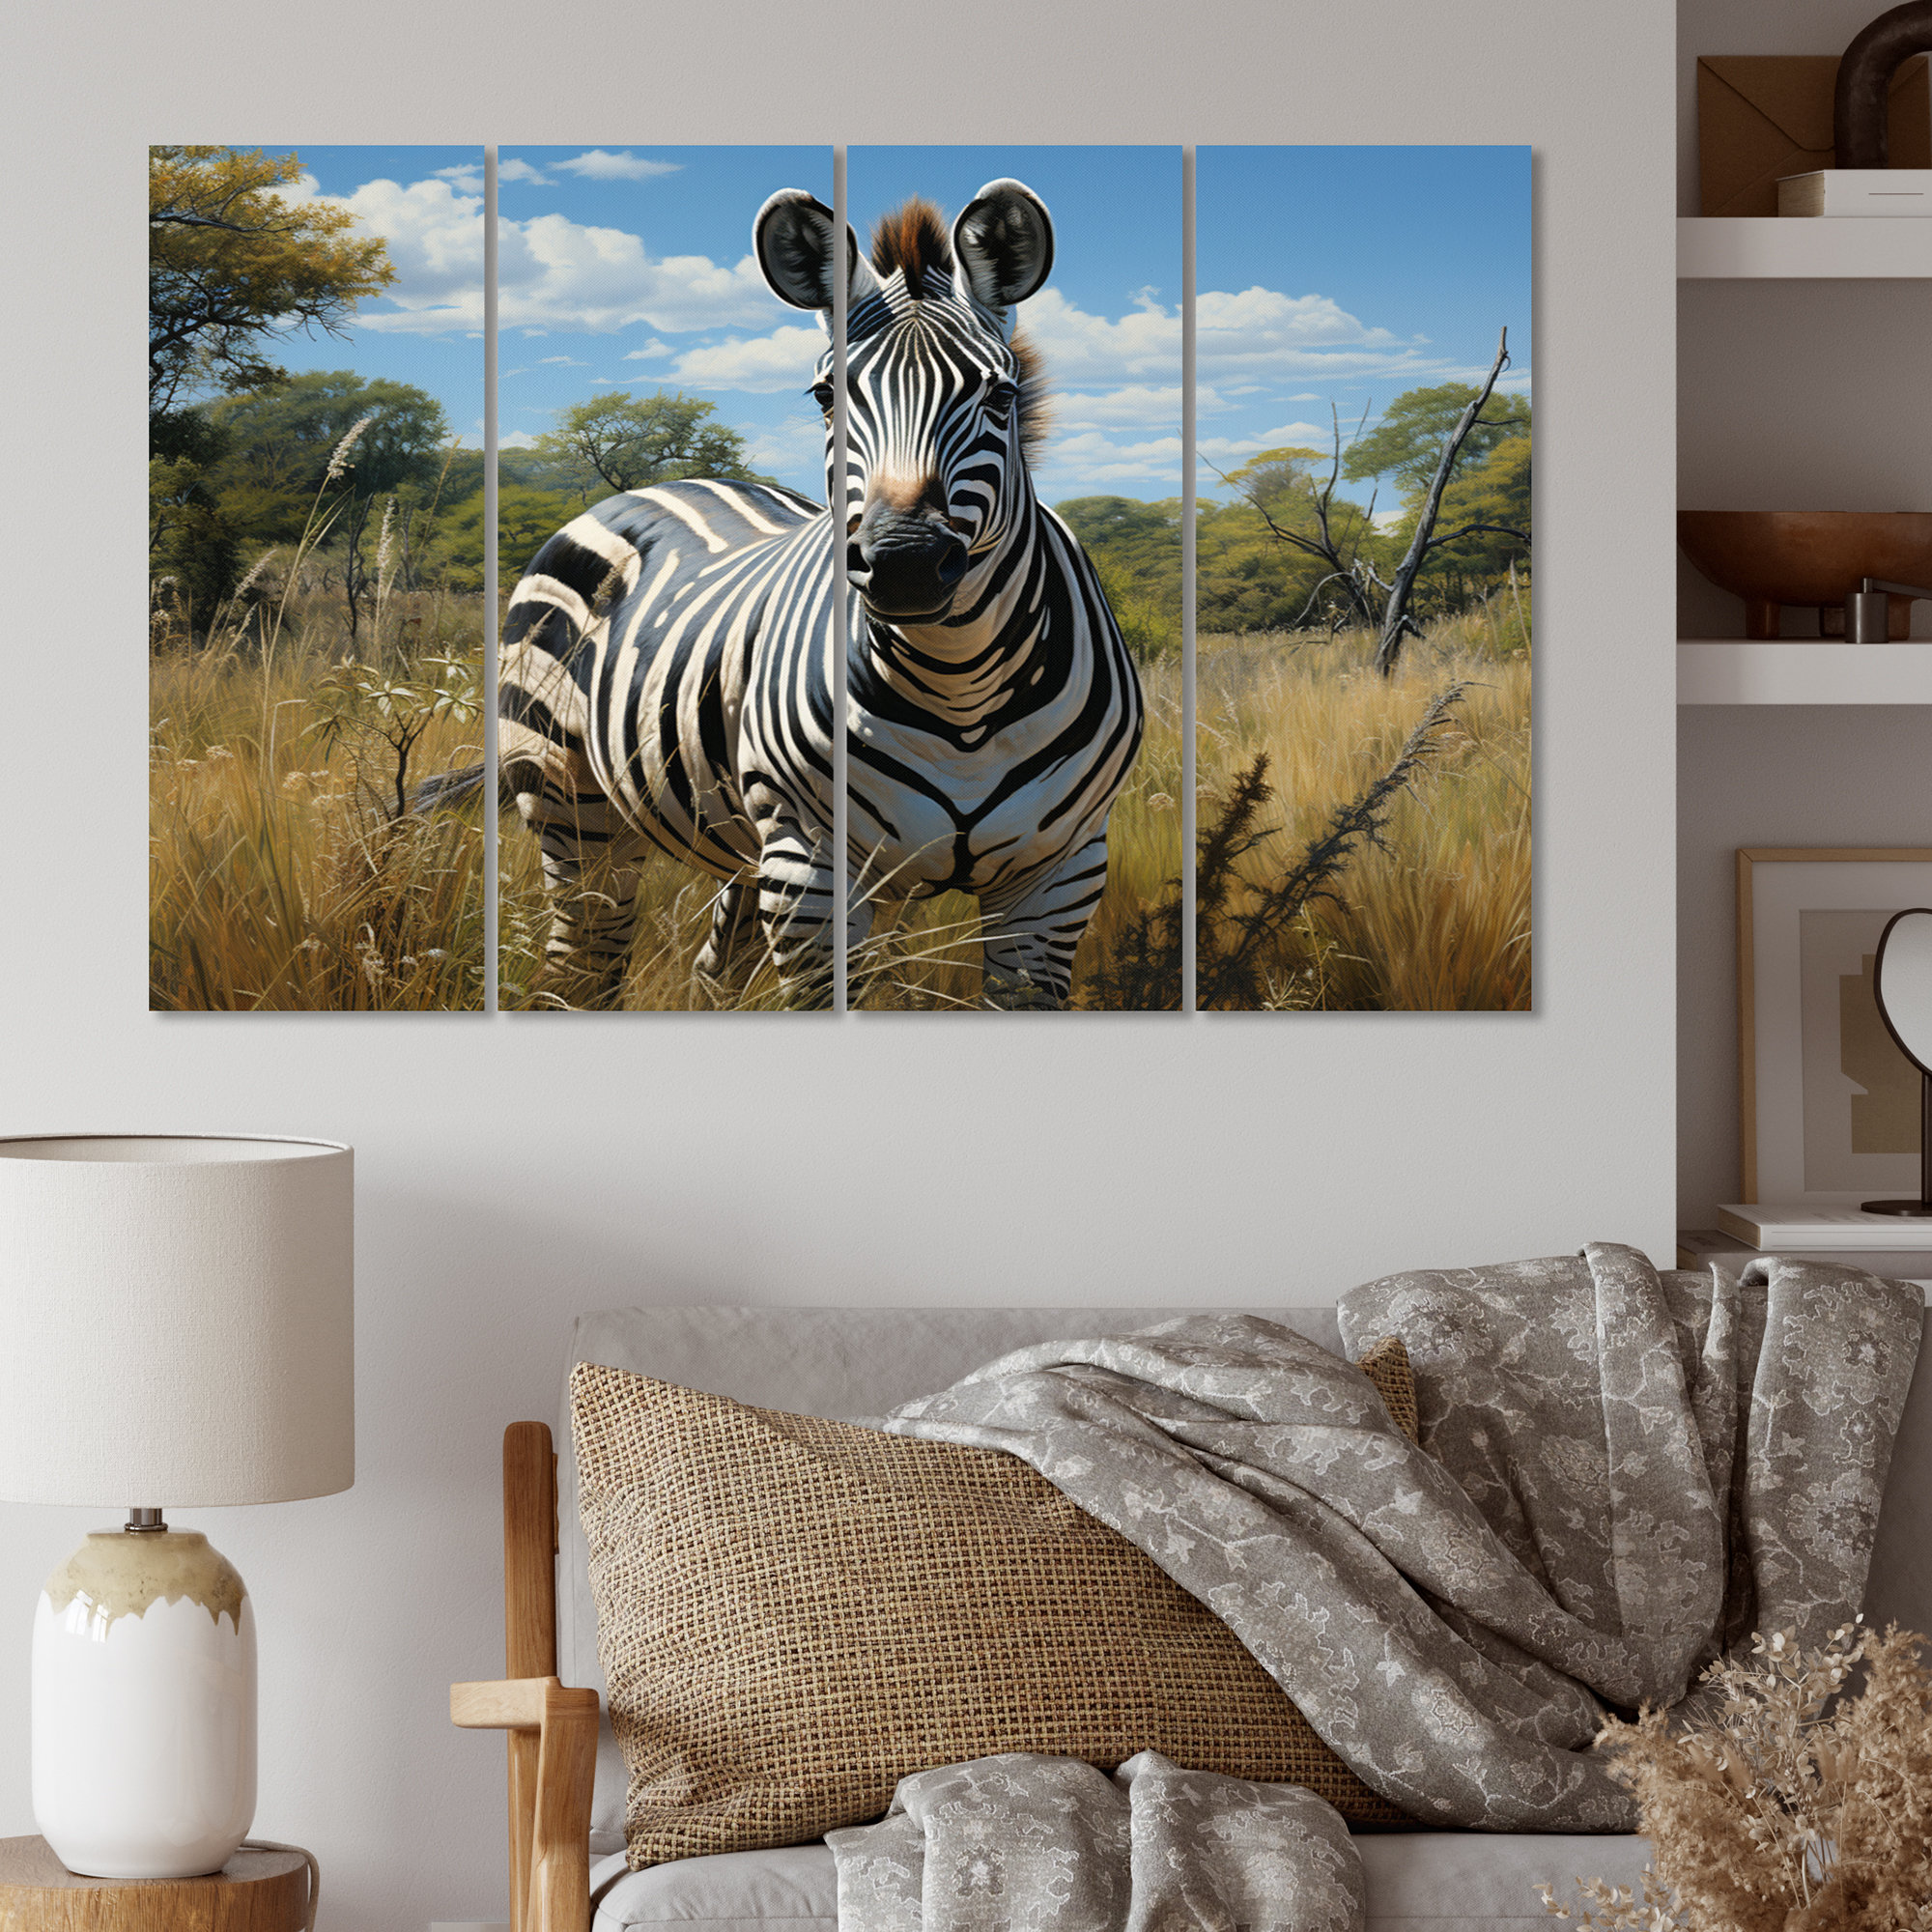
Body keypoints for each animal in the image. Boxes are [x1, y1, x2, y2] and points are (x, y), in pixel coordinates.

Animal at [488, 177, 1142, 1010]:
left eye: (1000, 396)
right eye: (827, 395)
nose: (905, 563)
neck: (961, 687)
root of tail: (659, 484)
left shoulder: (1059, 872)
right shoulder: (811, 866)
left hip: (742, 838)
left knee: (712, 969)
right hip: (574, 806)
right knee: (585, 964)